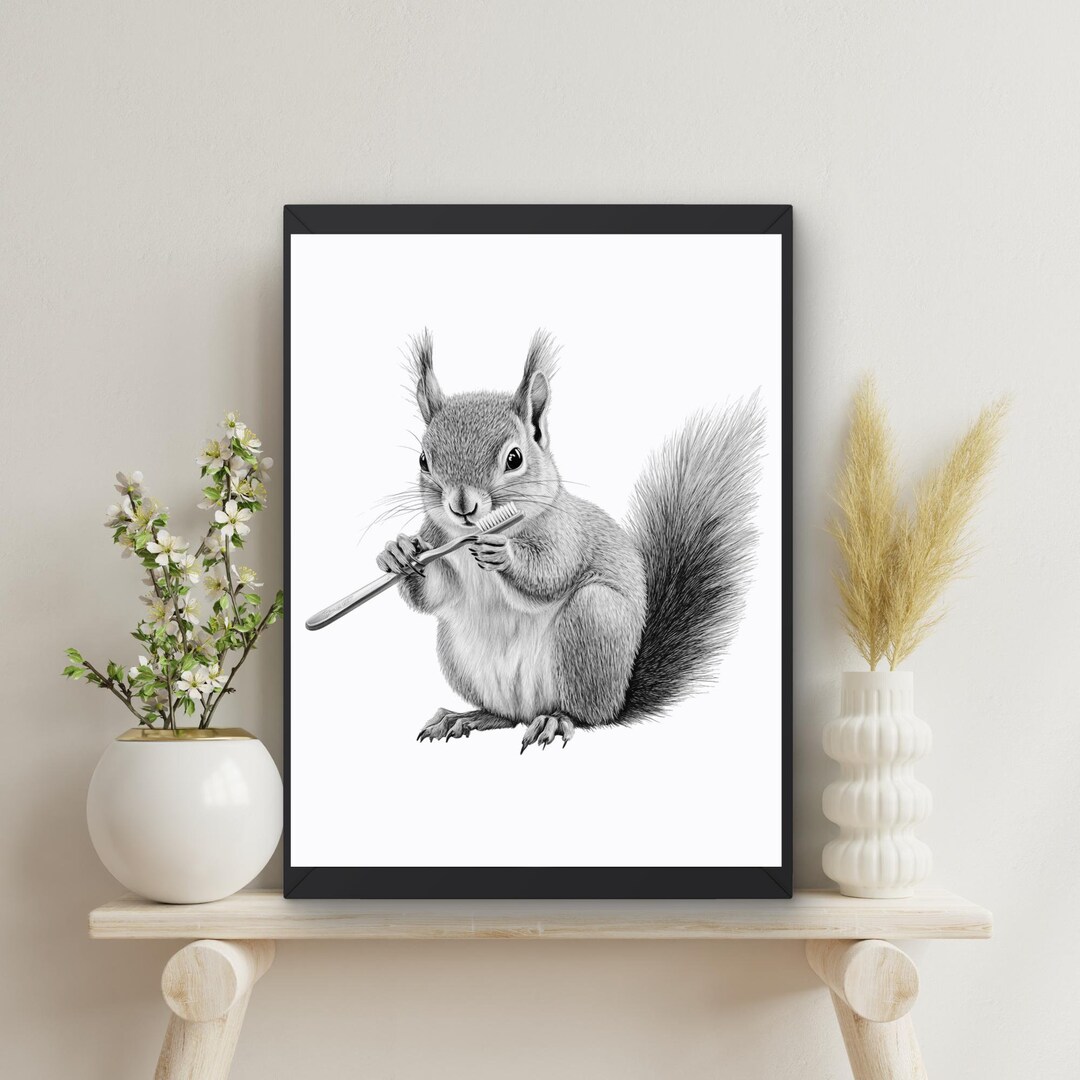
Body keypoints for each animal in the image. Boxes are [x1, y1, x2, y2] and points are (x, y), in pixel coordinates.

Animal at [376, 330, 765, 753]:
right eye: (423, 460)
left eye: (514, 458)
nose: (462, 505)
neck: (467, 539)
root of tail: (619, 696)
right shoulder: (438, 543)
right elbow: (435, 593)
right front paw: (397, 553)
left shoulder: (566, 534)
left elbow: (551, 575)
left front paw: (504, 554)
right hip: (458, 654)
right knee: (504, 716)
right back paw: (464, 717)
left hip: (592, 622)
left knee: (585, 714)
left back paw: (554, 719)